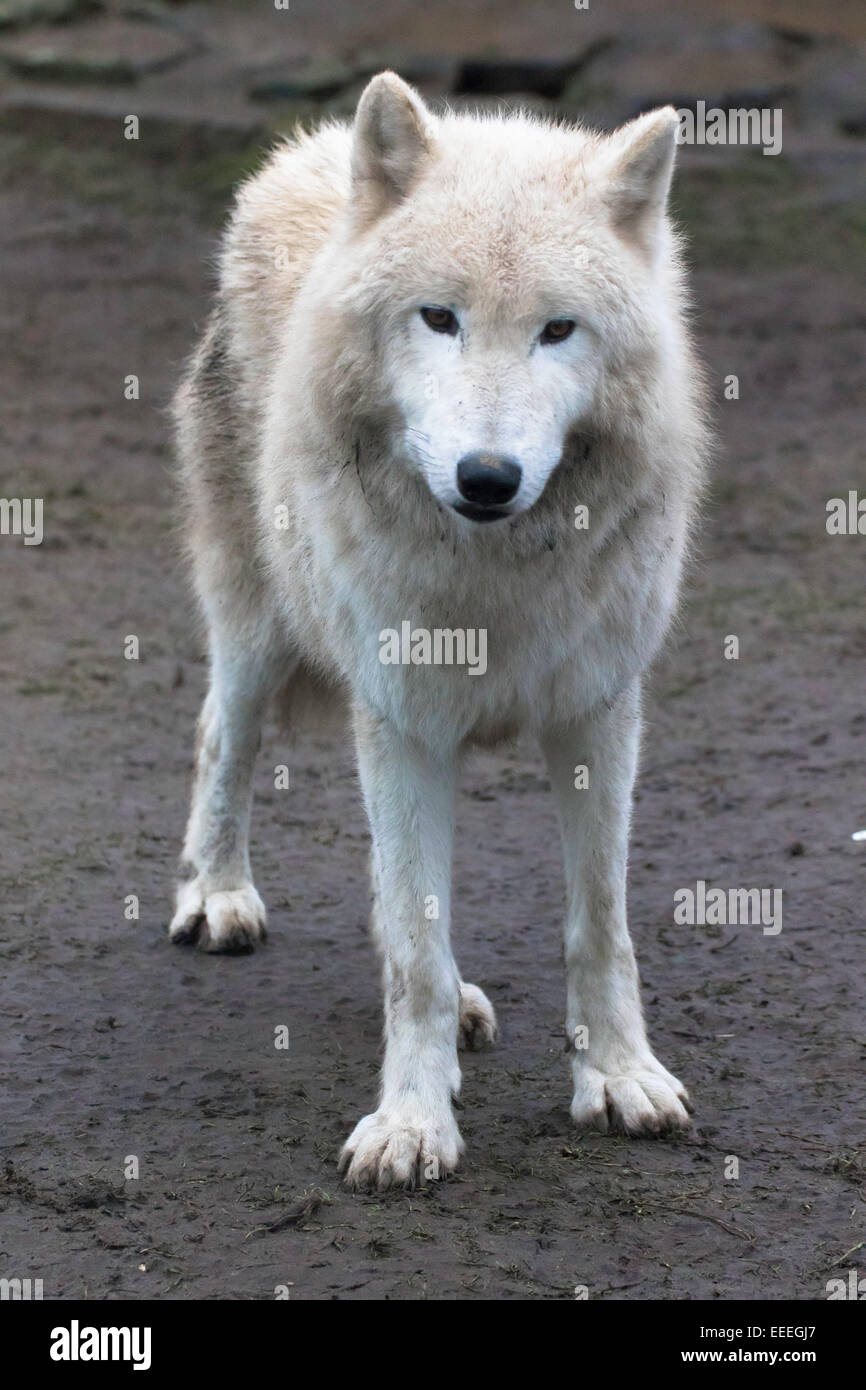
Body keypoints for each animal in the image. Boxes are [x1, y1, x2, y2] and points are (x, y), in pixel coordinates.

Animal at [170, 72, 709, 1189]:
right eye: (438, 319)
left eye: (558, 330)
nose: (487, 477)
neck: (493, 577)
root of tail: (306, 151)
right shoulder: (405, 720)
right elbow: (416, 953)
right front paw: (413, 1124)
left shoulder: (598, 713)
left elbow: (599, 925)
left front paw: (619, 1077)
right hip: (258, 630)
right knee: (220, 737)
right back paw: (217, 896)